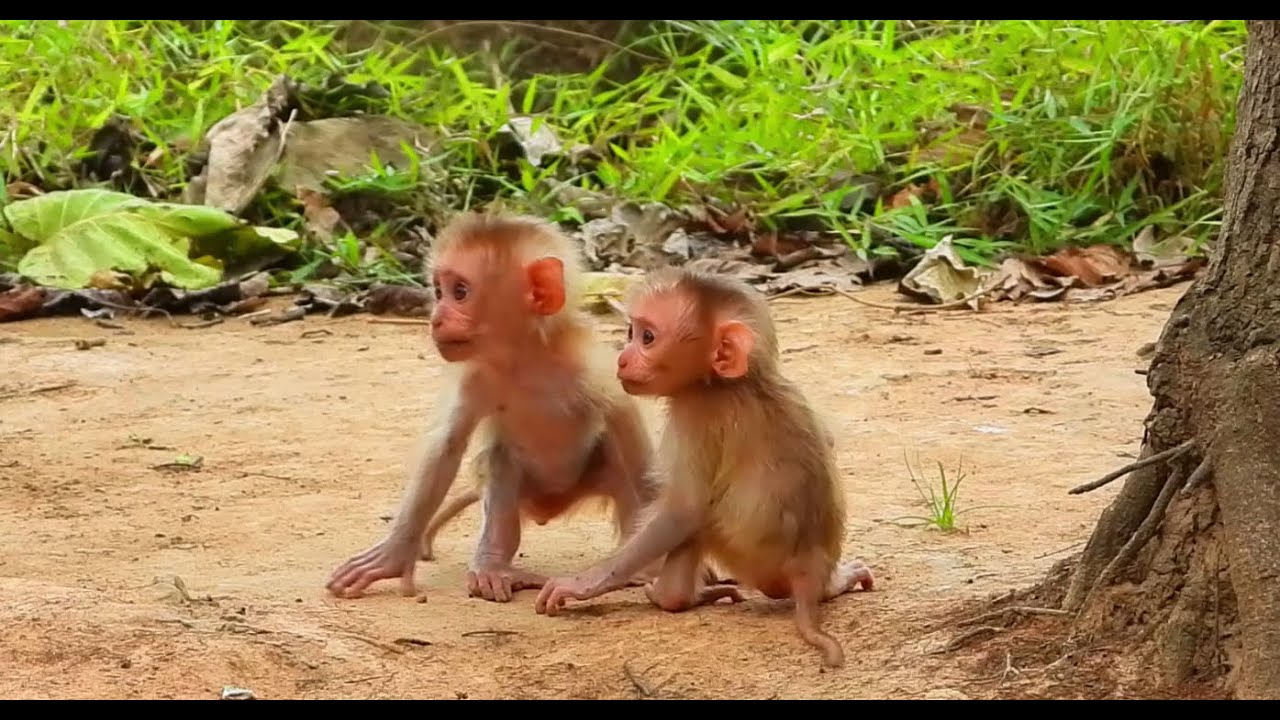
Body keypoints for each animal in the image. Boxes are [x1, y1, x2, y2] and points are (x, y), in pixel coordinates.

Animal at [326, 212, 660, 603]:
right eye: (438, 291)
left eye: (460, 292)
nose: (435, 318)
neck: (524, 360)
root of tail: (552, 504)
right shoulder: (476, 377)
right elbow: (446, 446)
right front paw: (392, 553)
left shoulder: (594, 369)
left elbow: (630, 435)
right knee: (502, 467)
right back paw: (493, 566)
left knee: (621, 465)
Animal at [533, 266, 874, 668]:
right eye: (631, 332)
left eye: (647, 337)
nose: (622, 358)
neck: (733, 382)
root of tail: (807, 567)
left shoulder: (694, 413)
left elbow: (684, 511)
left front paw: (582, 584)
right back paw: (833, 585)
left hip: (746, 556)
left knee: (696, 525)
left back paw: (675, 596)